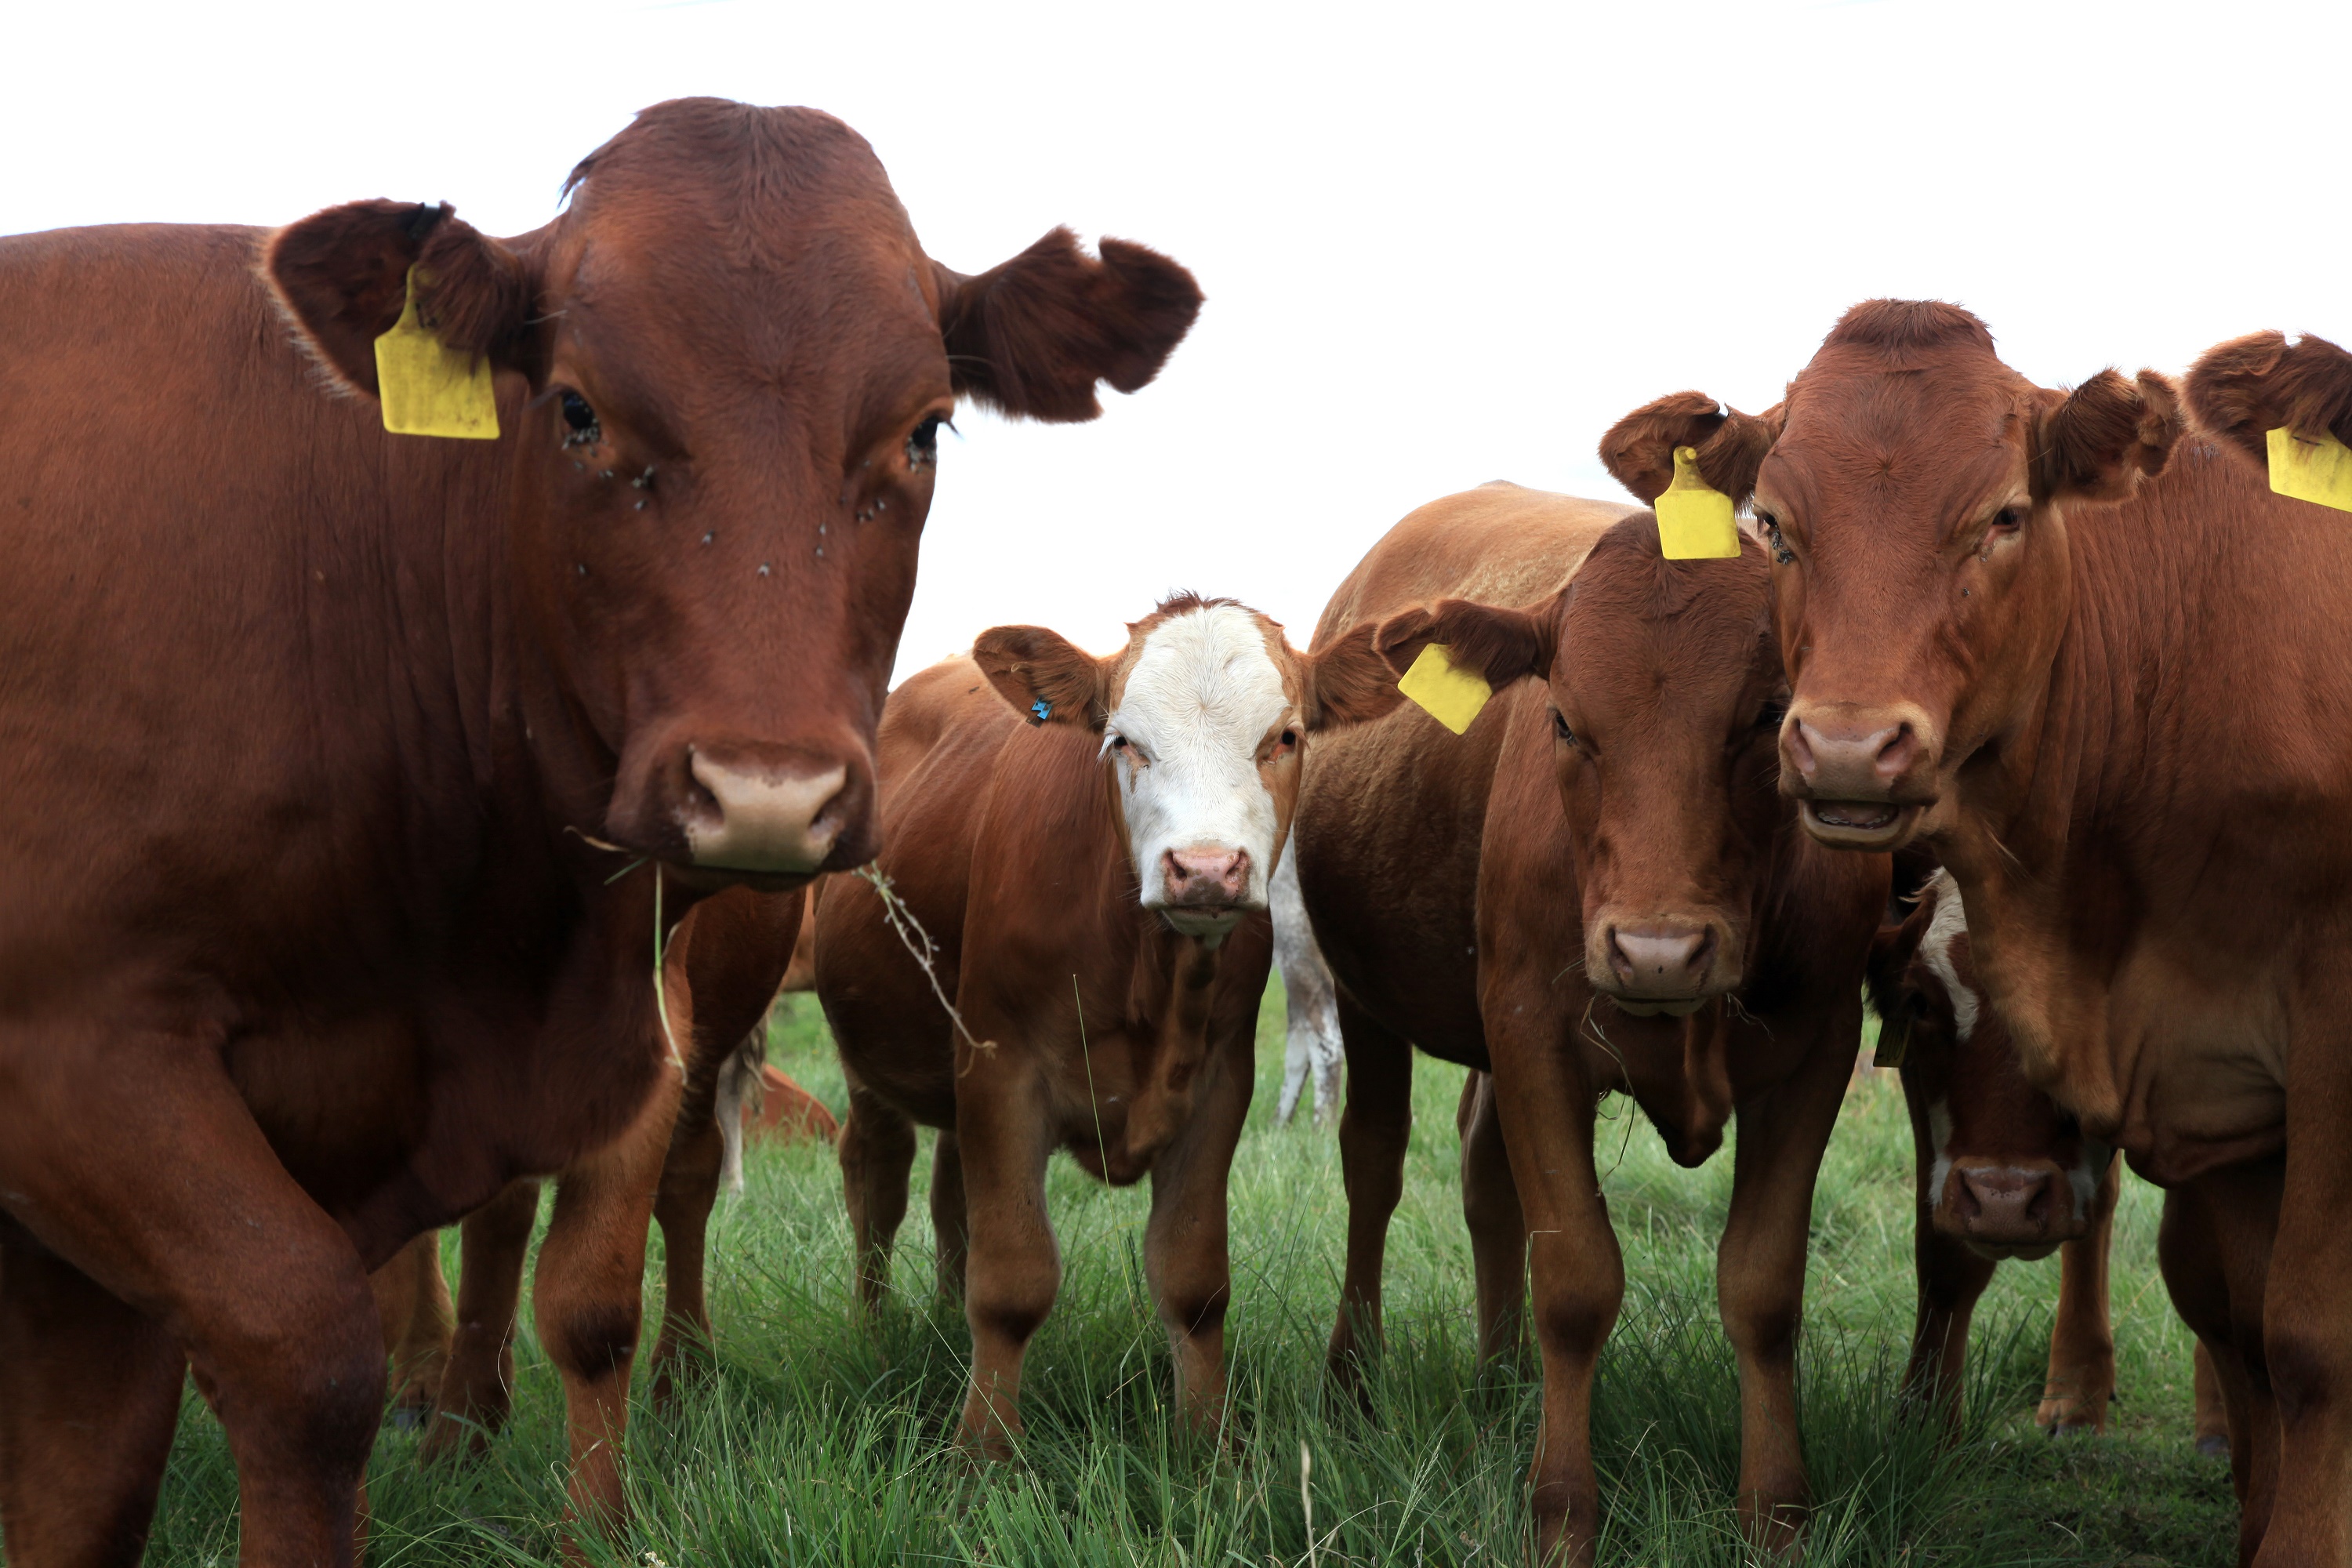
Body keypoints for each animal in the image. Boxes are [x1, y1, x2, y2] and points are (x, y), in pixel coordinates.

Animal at [0, 95, 1198, 1565]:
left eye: (924, 432)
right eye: (574, 410)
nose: (766, 791)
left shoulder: (629, 1025)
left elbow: (582, 1302)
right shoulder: (80, 1060)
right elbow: (302, 1354)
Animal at [813, 597, 1397, 1455]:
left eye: (1286, 736)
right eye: (1123, 741)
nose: (1205, 868)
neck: (1142, 968)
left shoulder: (1218, 1085)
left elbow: (1193, 1281)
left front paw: (1207, 1446)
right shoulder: (1002, 1072)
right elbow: (1013, 1281)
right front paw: (983, 1453)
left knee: (949, 1195)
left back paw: (945, 1321)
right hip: (870, 1064)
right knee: (877, 1183)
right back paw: (874, 1329)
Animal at [1290, 486, 1887, 1566]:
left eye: (1767, 714)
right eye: (1565, 720)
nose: (1657, 950)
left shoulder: (1816, 1054)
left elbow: (1764, 1287)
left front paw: (1777, 1512)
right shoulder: (1535, 1038)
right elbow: (1574, 1280)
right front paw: (1562, 1513)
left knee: (1484, 1173)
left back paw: (1502, 1381)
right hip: (1365, 1001)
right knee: (1374, 1166)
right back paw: (1354, 1379)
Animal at [1597, 300, 2352, 1567]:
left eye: (2002, 516)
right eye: (1775, 527)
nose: (1848, 749)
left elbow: (2309, 1337)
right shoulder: (2227, 1072)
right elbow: (2252, 1323)